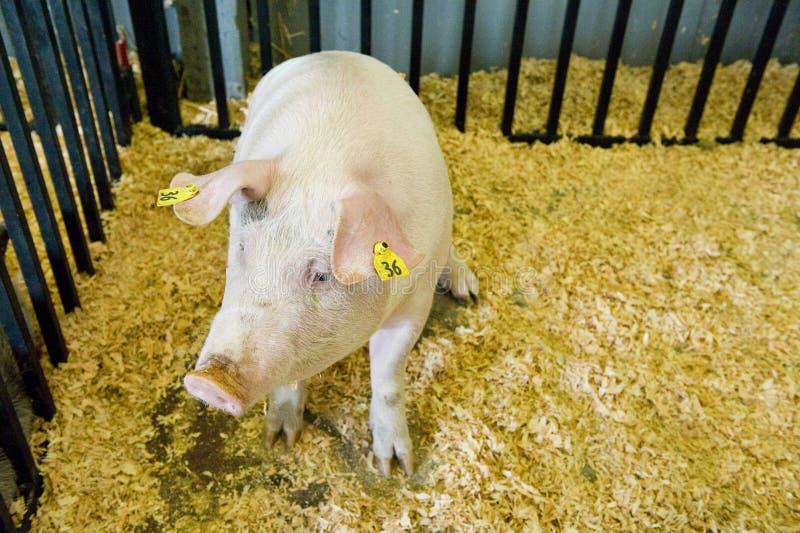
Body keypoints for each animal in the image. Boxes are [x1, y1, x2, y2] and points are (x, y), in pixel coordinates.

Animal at [171, 51, 478, 477]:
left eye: (319, 274)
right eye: (244, 247)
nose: (209, 381)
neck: (324, 161)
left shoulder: (415, 298)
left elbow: (388, 377)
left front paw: (395, 468)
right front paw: (279, 441)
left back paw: (468, 291)